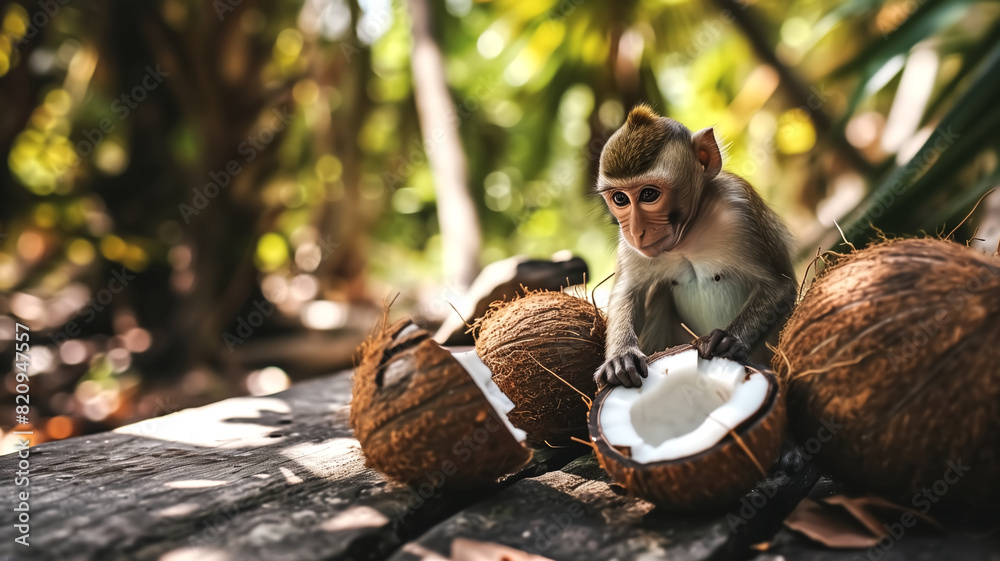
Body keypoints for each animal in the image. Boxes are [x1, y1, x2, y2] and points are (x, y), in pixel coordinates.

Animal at [594, 104, 796, 388]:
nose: (635, 231)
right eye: (620, 199)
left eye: (649, 194)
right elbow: (626, 293)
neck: (687, 236)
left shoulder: (740, 209)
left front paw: (728, 339)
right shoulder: (631, 248)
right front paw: (621, 357)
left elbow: (779, 286)